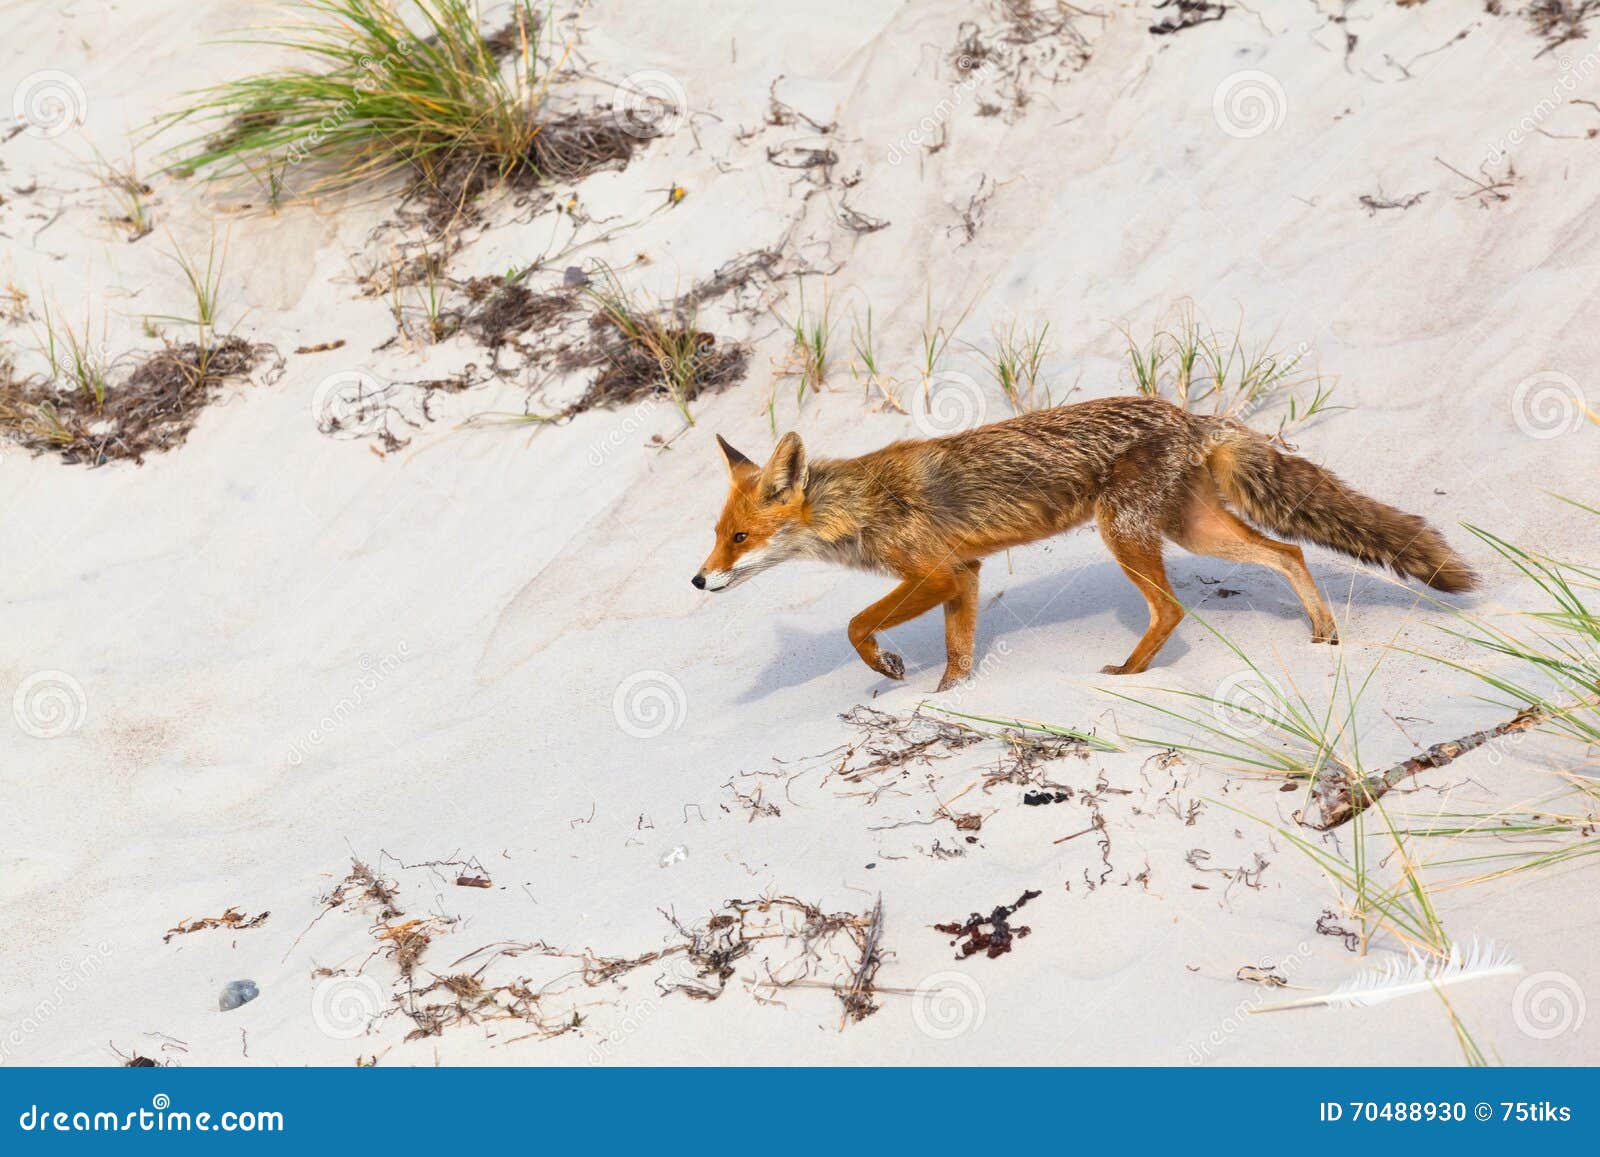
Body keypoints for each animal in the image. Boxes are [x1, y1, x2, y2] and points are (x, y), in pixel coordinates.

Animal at [692, 395, 1477, 691]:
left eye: (740, 537)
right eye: (716, 536)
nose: (697, 581)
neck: (857, 507)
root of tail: (1188, 413)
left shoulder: (936, 571)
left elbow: (858, 624)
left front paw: (887, 666)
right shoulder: (965, 574)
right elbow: (957, 656)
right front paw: (946, 701)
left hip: (1124, 533)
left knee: (1173, 610)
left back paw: (1130, 674)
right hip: (1192, 530)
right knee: (1290, 553)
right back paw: (1321, 631)